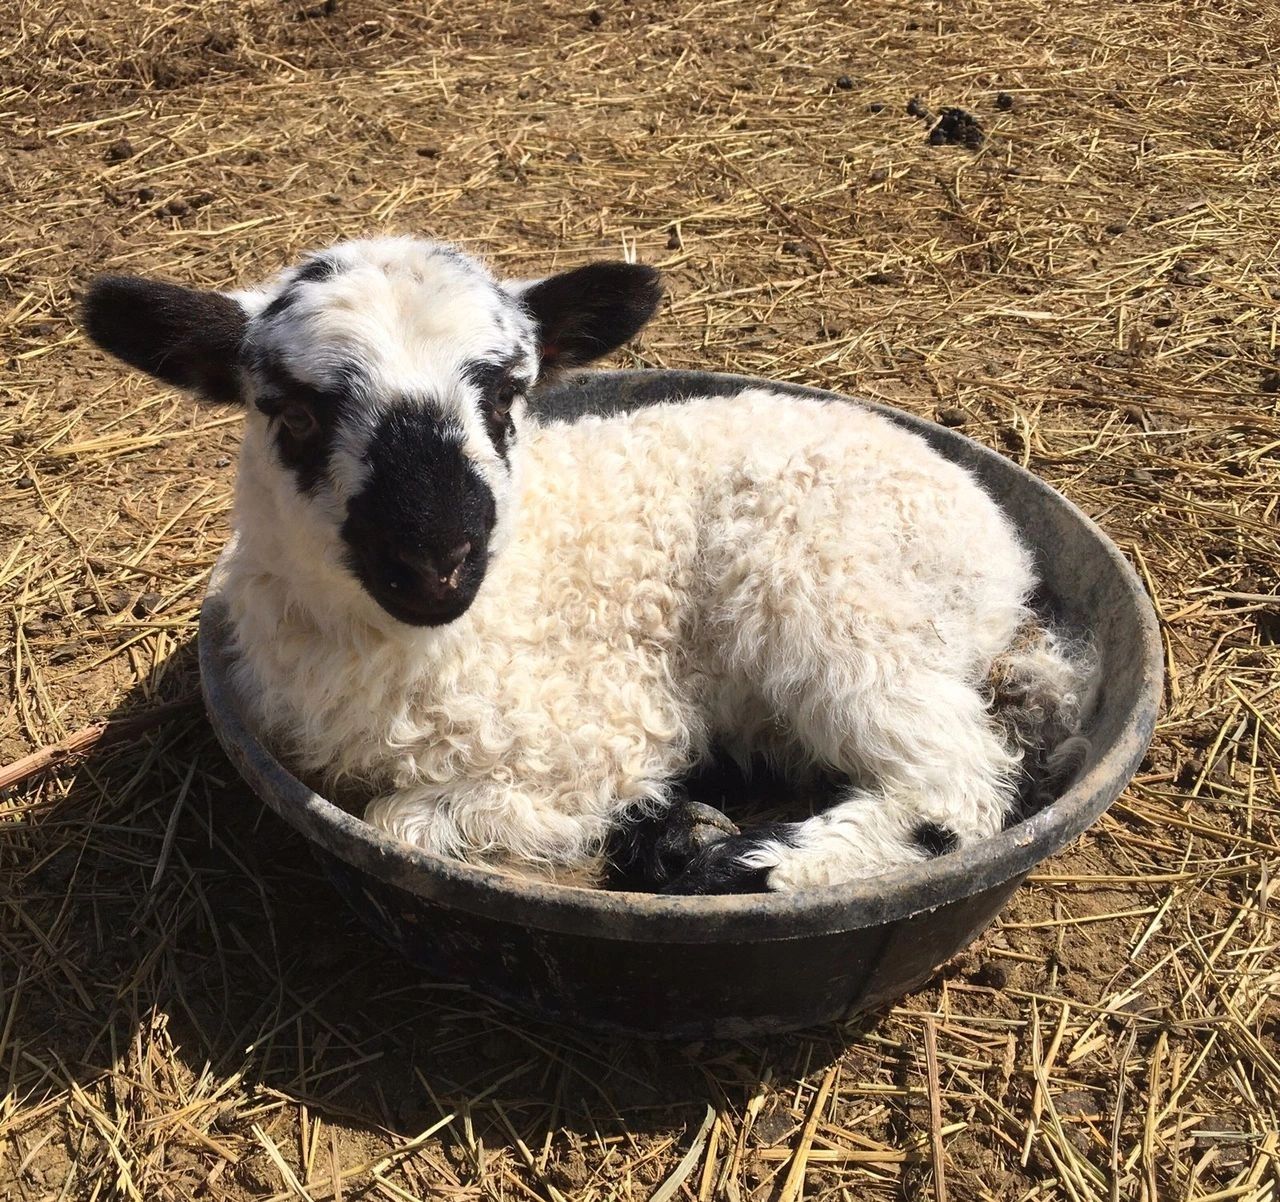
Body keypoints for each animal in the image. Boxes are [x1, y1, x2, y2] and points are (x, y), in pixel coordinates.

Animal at [81, 235, 1095, 894]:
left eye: (506, 396)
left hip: (829, 598)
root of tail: (1002, 557)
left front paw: (629, 827)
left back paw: (743, 863)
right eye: (290, 413)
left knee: (955, 784)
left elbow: (400, 819)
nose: (437, 560)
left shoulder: (601, 727)